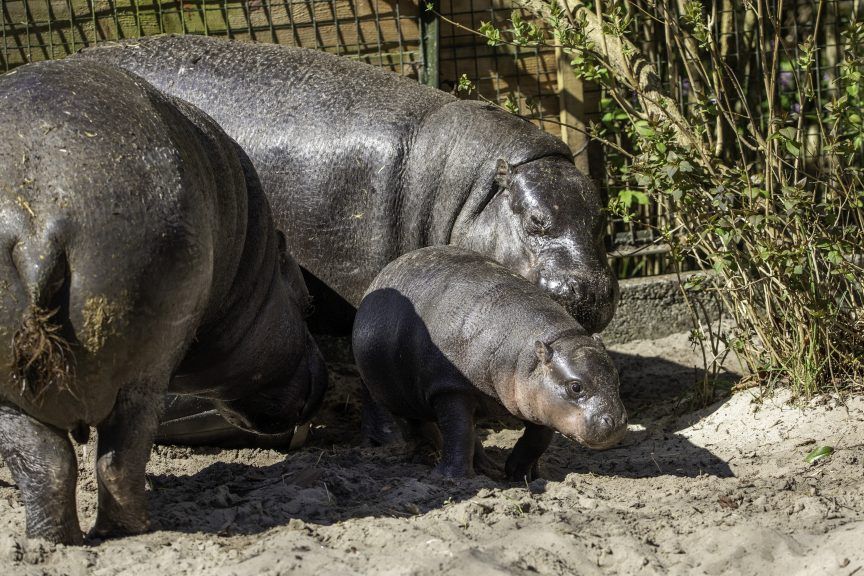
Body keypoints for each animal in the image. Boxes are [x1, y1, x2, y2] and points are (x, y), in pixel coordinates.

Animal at [0, 59, 326, 544]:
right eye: (307, 305)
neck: (254, 272)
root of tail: (35, 228)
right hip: (142, 374)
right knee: (117, 462)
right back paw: (138, 530)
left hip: (8, 394)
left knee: (46, 466)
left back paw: (54, 542)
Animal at [352, 246, 627, 481]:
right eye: (575, 387)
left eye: (616, 379)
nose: (617, 422)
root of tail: (380, 276)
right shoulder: (451, 389)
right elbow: (459, 432)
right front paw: (453, 479)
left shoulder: (539, 401)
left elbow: (537, 439)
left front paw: (521, 475)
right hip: (400, 396)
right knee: (429, 427)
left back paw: (489, 467)